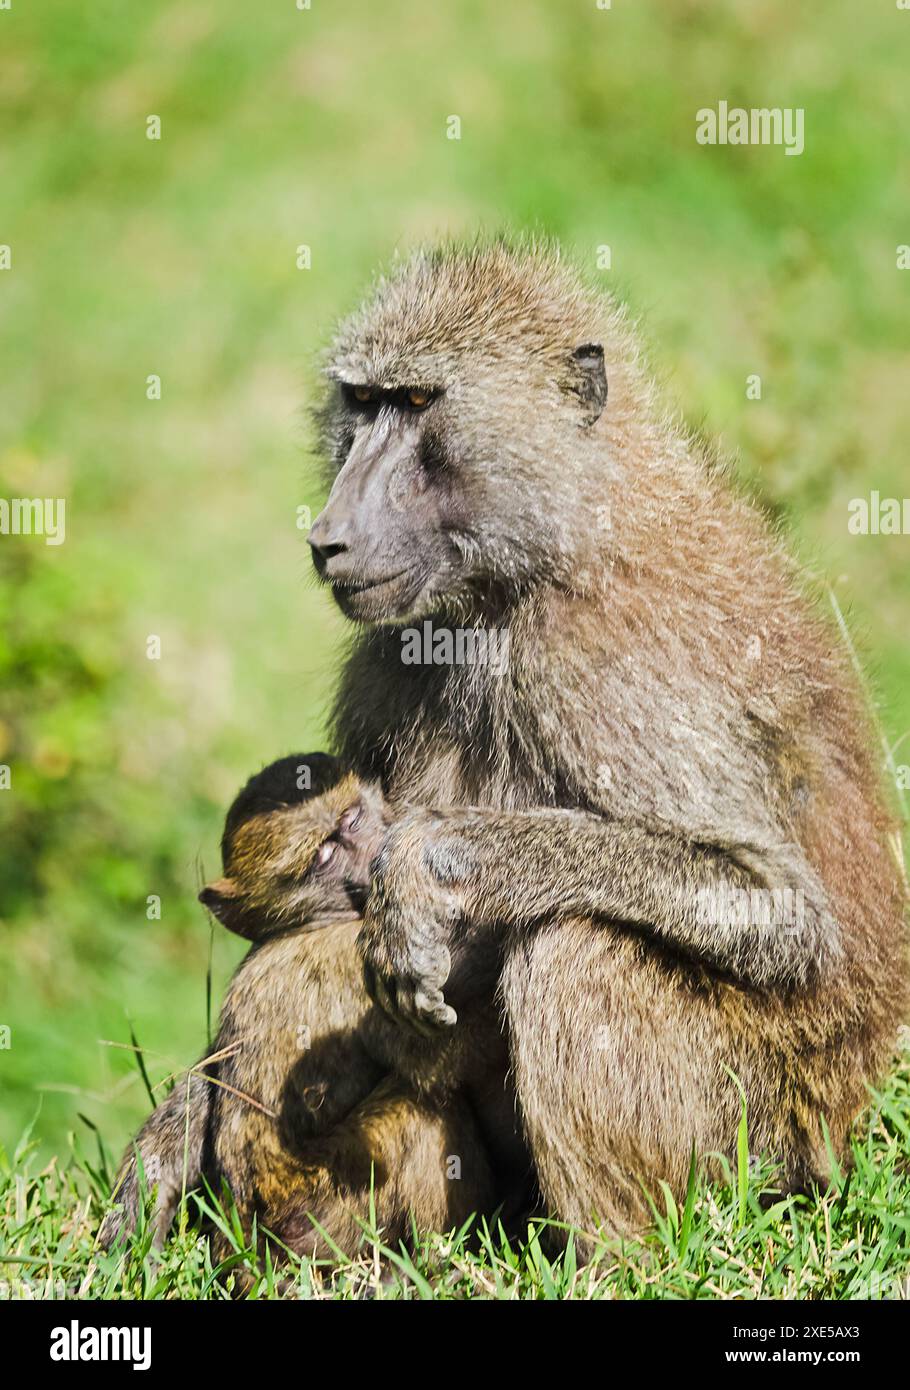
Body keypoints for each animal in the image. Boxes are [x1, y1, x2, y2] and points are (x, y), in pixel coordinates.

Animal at [99, 754, 526, 1265]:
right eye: (323, 856)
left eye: (352, 820)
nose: (377, 854)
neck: (309, 924)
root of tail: (249, 1237)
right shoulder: (360, 961)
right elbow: (455, 1059)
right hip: (326, 1209)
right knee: (419, 1109)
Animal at [301, 235, 909, 1248]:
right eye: (364, 403)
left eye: (419, 405)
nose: (329, 538)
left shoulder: (616, 667)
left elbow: (780, 908)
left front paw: (431, 867)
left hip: (773, 1127)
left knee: (574, 946)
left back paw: (622, 1258)